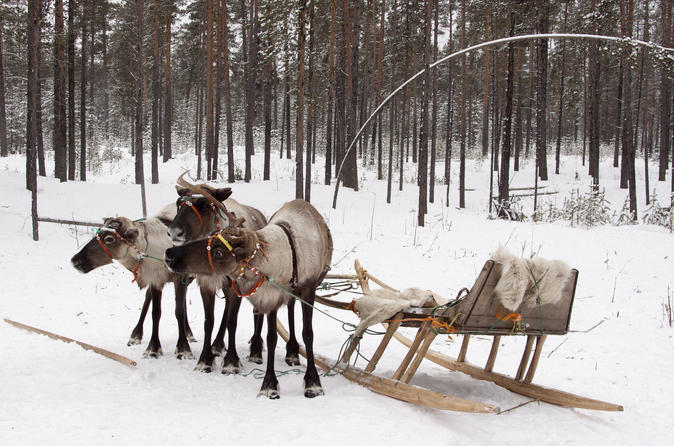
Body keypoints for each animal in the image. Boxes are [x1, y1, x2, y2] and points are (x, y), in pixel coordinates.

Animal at [71, 205, 195, 359]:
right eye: (98, 231)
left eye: (109, 238)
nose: (75, 260)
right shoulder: (155, 279)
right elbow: (156, 312)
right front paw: (153, 348)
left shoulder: (179, 277)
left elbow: (179, 311)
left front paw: (183, 349)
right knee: (149, 298)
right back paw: (136, 334)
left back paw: (187, 332)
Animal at [164, 198, 333, 399]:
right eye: (210, 237)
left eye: (219, 253)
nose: (169, 254)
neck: (289, 256)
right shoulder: (271, 296)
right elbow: (271, 338)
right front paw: (270, 384)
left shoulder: (308, 289)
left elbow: (308, 334)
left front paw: (313, 383)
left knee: (291, 311)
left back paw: (292, 352)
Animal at [167, 174, 302, 374]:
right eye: (178, 203)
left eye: (204, 205)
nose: (174, 232)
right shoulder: (207, 284)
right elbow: (209, 321)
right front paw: (205, 359)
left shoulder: (237, 286)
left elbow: (232, 321)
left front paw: (231, 361)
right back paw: (217, 345)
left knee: (268, 310)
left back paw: (258, 349)